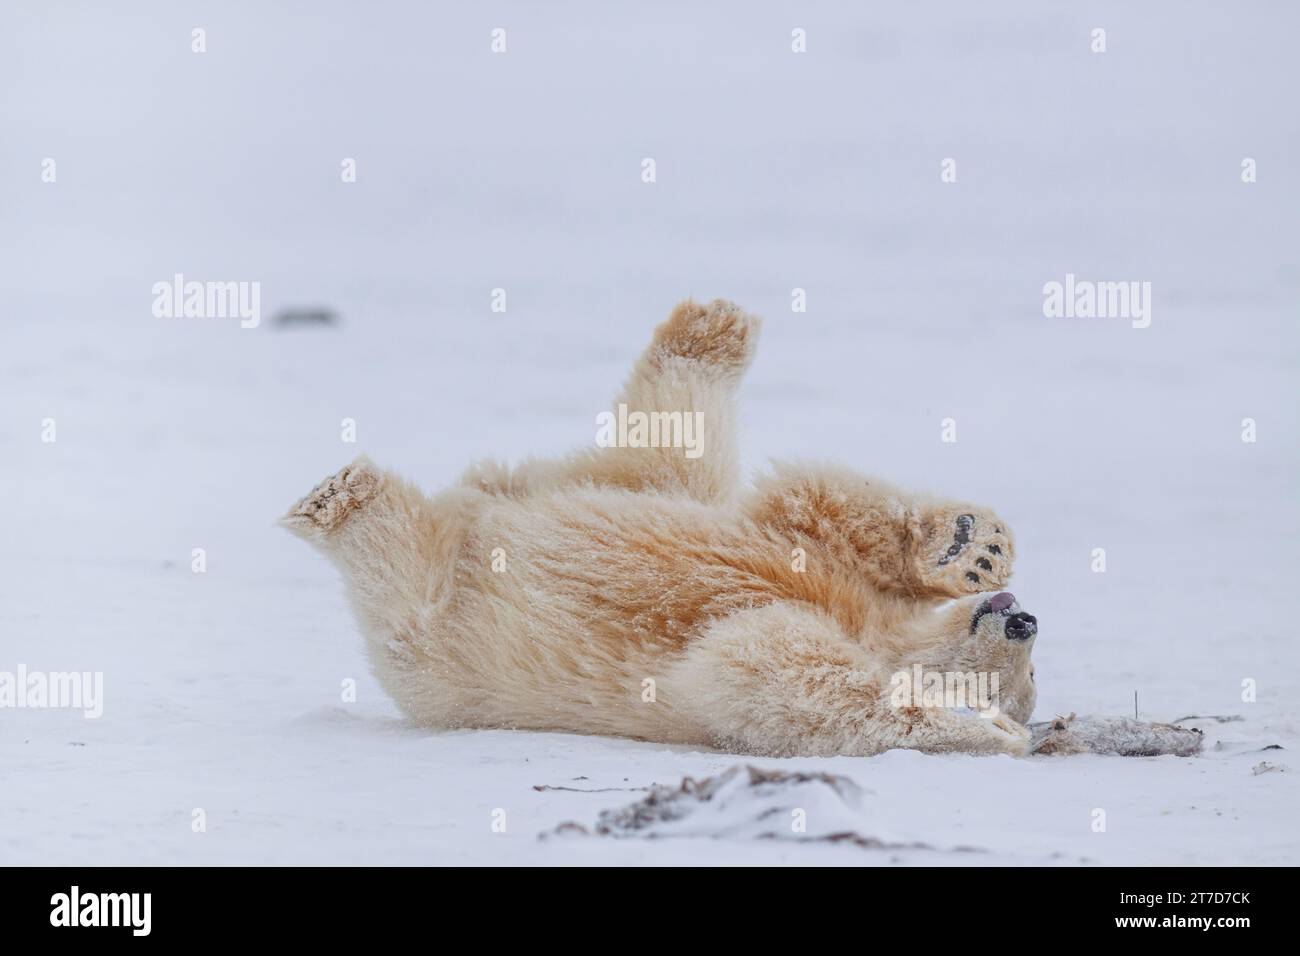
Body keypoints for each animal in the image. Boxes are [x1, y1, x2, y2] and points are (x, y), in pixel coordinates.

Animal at [283, 299, 1038, 757]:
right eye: (1027, 671)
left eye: (1016, 688)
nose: (1023, 618)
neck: (877, 629)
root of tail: (478, 500)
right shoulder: (820, 563)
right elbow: (813, 507)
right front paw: (972, 547)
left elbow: (771, 671)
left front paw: (987, 734)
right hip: (631, 497)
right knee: (675, 450)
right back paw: (713, 328)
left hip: (441, 650)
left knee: (404, 566)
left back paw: (341, 499)